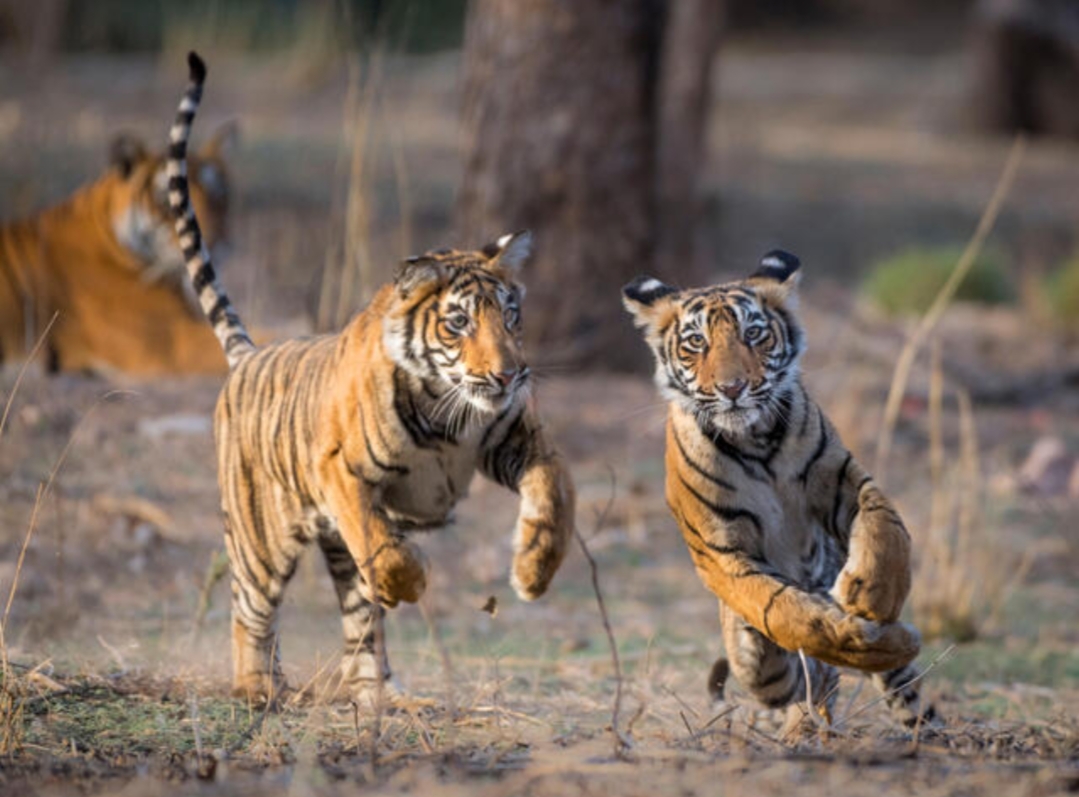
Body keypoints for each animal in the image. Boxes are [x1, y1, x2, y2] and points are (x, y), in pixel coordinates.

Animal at [167, 53, 576, 704]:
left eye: (510, 315)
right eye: (459, 323)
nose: (509, 375)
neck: (449, 408)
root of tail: (249, 356)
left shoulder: (517, 437)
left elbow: (554, 492)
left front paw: (534, 568)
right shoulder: (343, 471)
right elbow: (383, 550)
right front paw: (413, 579)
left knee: (358, 626)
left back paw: (380, 696)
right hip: (260, 538)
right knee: (251, 610)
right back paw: (258, 688)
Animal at [622, 251, 938, 733]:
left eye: (753, 334)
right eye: (696, 342)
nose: (732, 388)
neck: (756, 443)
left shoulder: (842, 479)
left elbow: (886, 525)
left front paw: (872, 595)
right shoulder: (721, 552)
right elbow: (783, 611)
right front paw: (850, 636)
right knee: (778, 672)